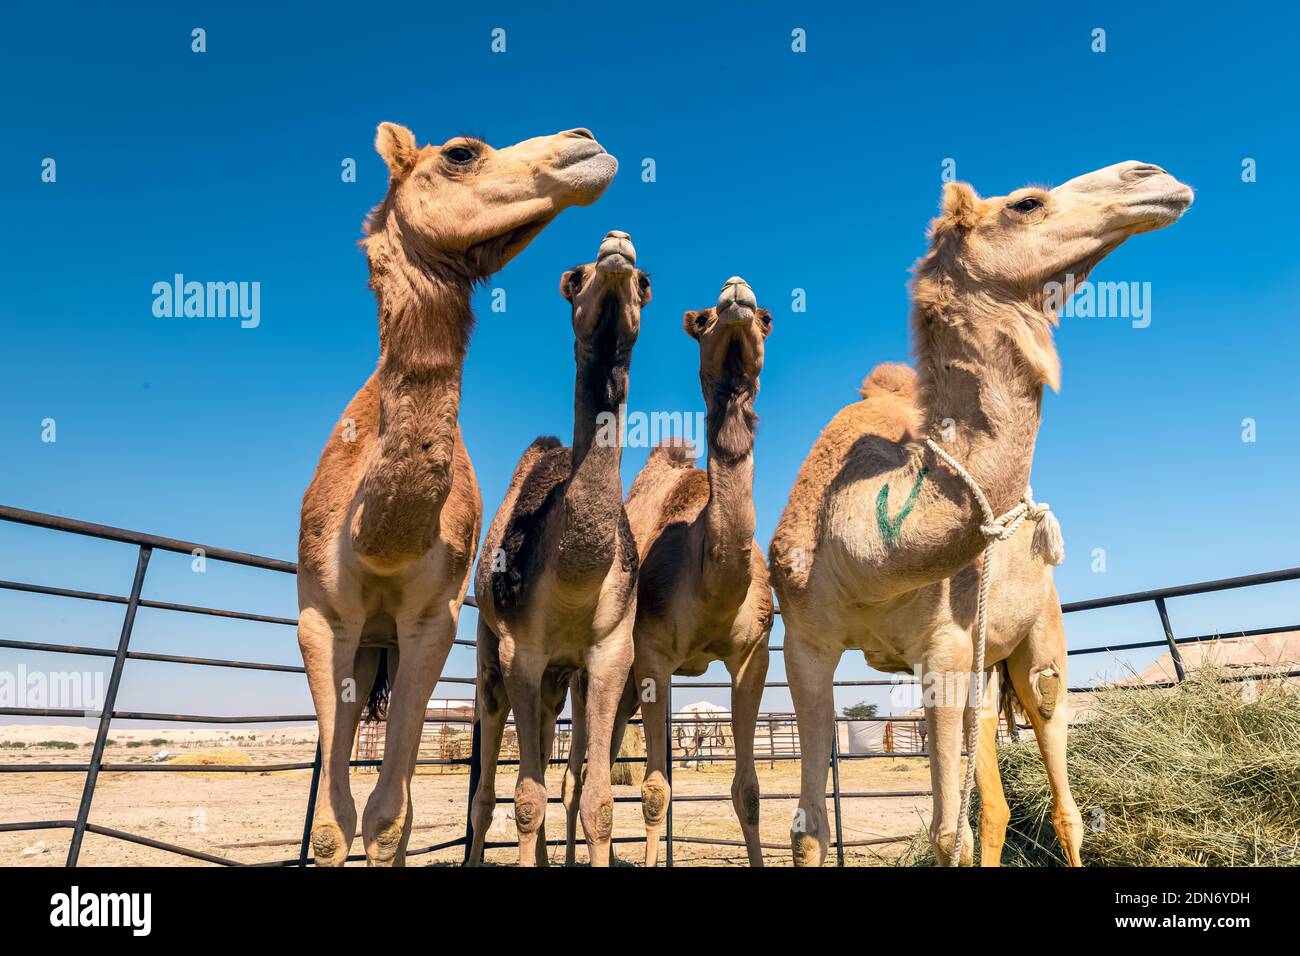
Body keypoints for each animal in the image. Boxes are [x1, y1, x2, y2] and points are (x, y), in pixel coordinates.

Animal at [296, 123, 616, 867]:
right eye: (462, 152)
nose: (587, 141)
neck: (376, 538)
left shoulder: (431, 621)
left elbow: (389, 816)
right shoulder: (318, 617)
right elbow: (331, 821)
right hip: (363, 645)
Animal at [466, 230, 647, 867]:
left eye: (645, 283)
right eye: (573, 278)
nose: (618, 244)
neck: (572, 575)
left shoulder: (610, 652)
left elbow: (596, 799)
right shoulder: (522, 651)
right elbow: (523, 796)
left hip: (562, 677)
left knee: (551, 760)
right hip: (491, 653)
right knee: (491, 779)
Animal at [562, 277, 775, 866]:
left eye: (767, 319)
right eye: (701, 320)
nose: (736, 291)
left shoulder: (753, 656)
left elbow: (748, 791)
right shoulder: (654, 656)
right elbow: (656, 790)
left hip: (624, 689)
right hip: (594, 672)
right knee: (572, 776)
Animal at [768, 161, 1193, 867]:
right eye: (1027, 203)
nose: (1155, 177)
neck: (865, 548)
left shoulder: (942, 647)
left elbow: (948, 833)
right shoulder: (805, 644)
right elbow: (809, 827)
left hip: (1039, 638)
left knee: (1057, 777)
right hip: (983, 670)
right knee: (993, 801)